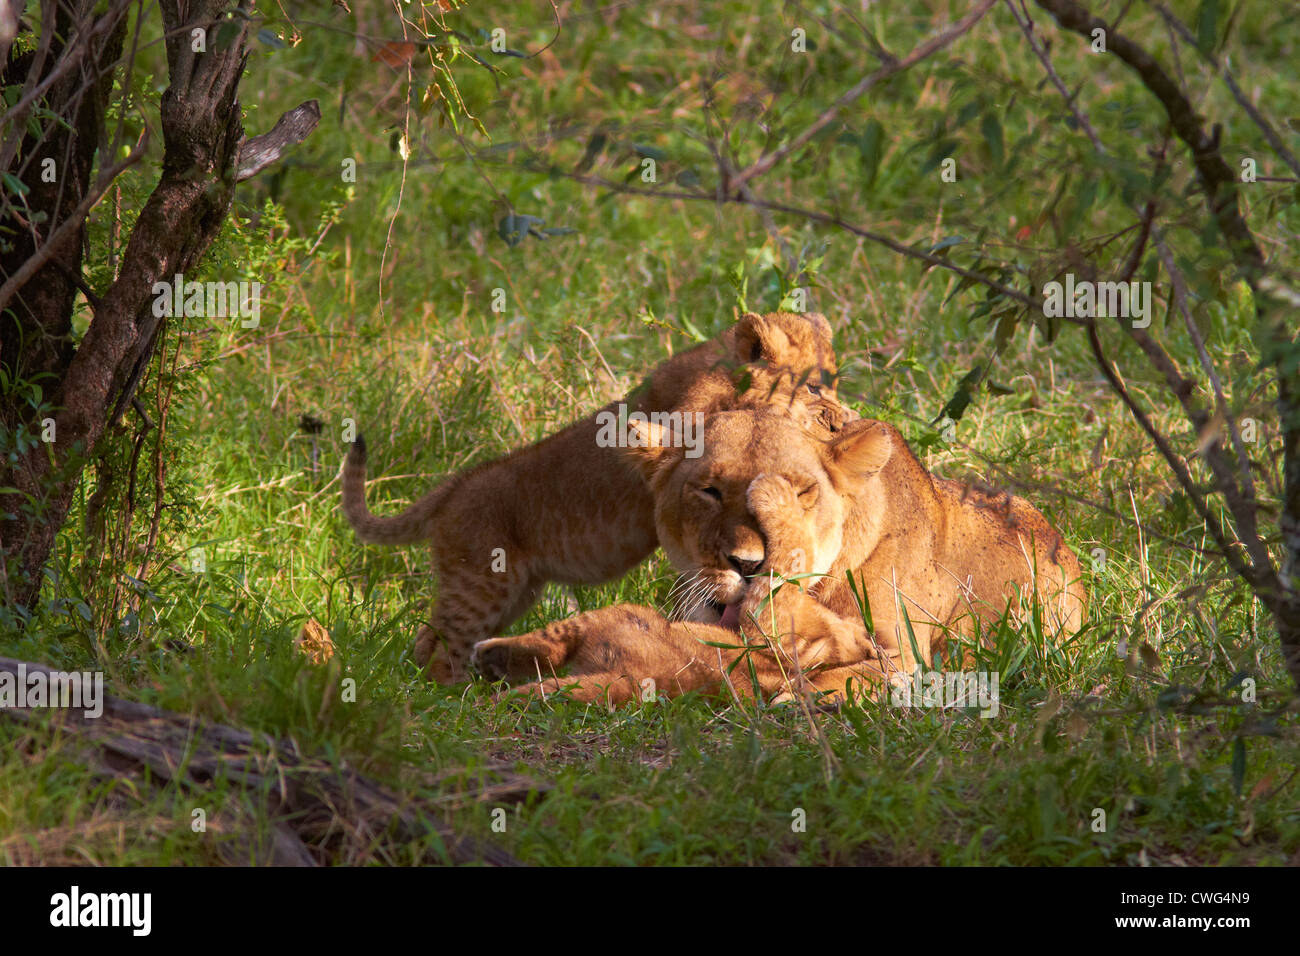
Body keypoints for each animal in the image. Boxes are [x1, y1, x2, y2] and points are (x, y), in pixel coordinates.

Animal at [341, 312, 856, 683]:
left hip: (513, 593)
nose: (841, 417)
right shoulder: (682, 416)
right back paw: (446, 693)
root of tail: (451, 488)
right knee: (441, 644)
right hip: (480, 586)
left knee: (431, 637)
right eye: (815, 384)